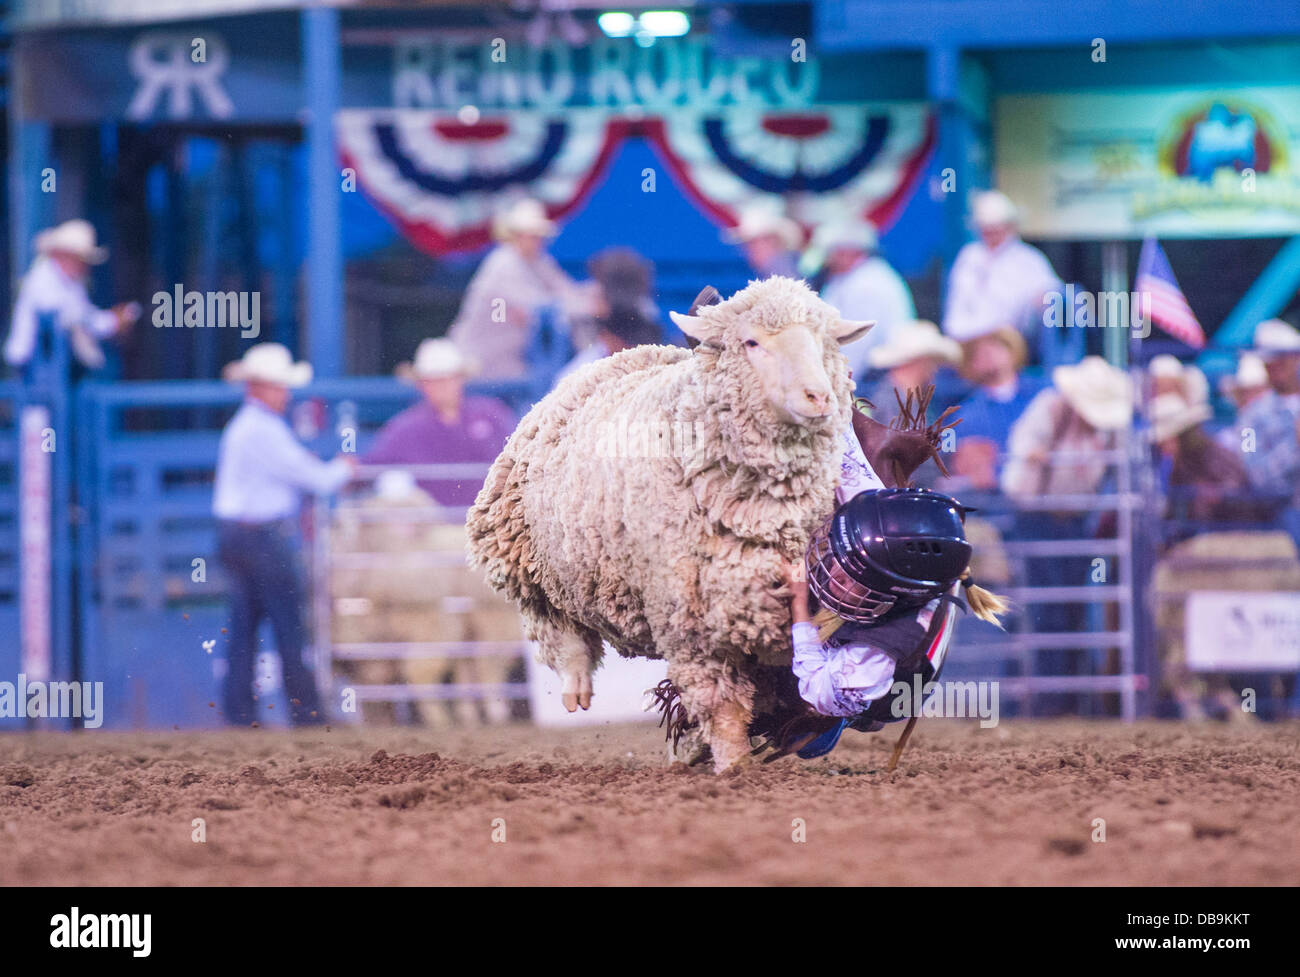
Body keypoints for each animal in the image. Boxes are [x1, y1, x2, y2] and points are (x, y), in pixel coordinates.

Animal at [465, 276, 871, 771]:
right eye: (752, 342)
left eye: (823, 343)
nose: (818, 397)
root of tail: (628, 355)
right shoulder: (687, 616)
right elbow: (722, 703)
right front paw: (735, 767)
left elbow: (774, 681)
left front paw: (707, 744)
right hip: (529, 556)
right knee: (557, 626)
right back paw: (576, 684)